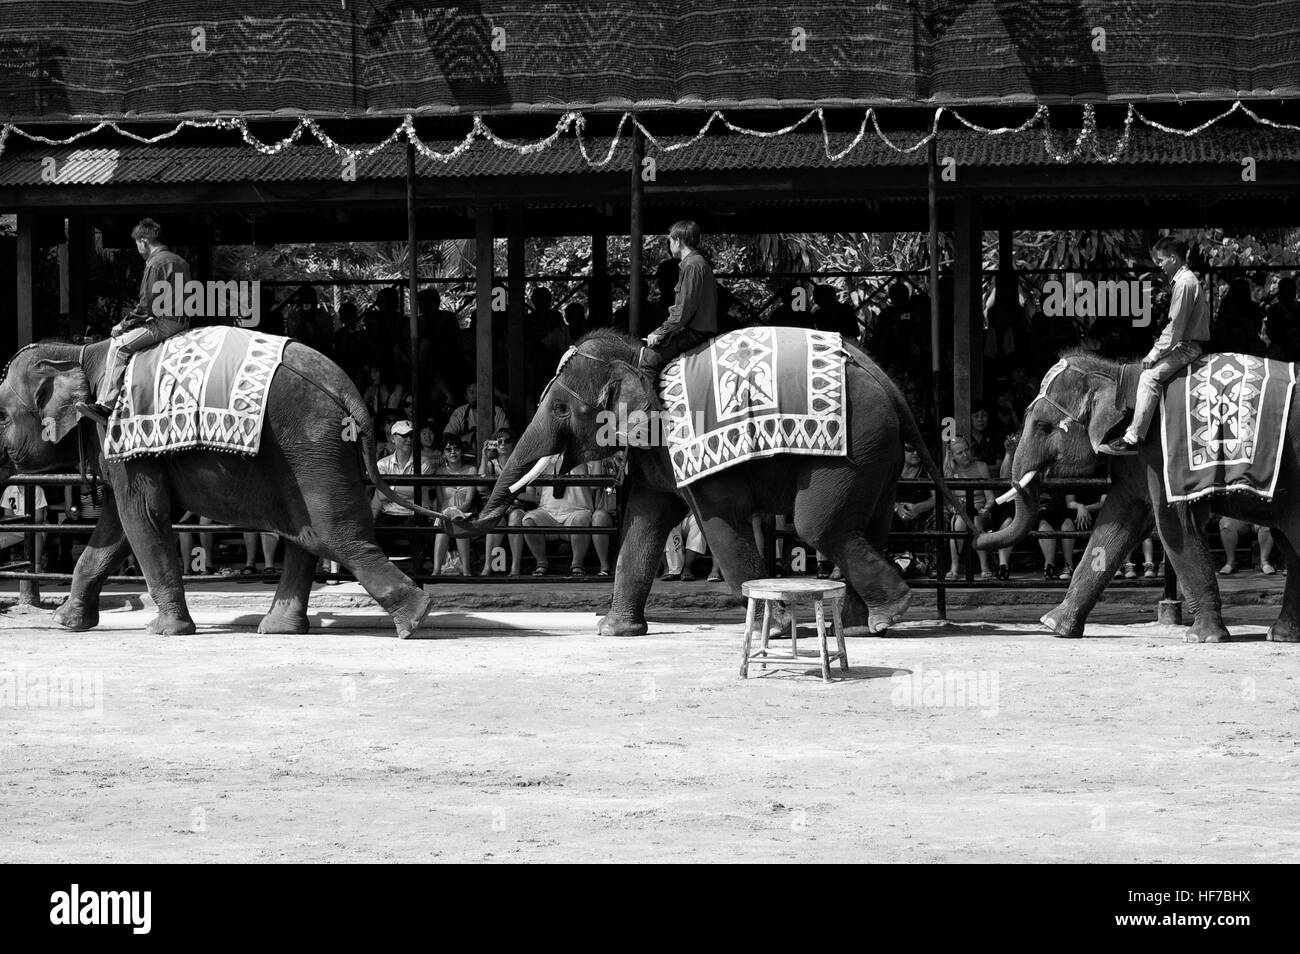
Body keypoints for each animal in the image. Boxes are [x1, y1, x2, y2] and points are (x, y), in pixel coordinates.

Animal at [0, 336, 439, 638]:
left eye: (2, 417)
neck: (80, 351)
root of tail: (346, 386)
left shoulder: (123, 434)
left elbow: (141, 515)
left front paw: (166, 632)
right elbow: (116, 525)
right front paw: (66, 623)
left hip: (311, 440)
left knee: (335, 534)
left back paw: (416, 619)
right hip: (311, 450)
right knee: (308, 532)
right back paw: (280, 629)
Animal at [457, 328, 970, 638]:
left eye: (561, 408)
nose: (455, 514)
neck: (639, 361)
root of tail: (884, 378)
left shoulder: (691, 445)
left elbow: (719, 523)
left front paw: (773, 629)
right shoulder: (658, 457)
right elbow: (644, 523)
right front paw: (614, 630)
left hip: (856, 445)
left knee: (817, 527)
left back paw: (887, 616)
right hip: (879, 452)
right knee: (869, 524)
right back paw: (863, 624)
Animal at [974, 348, 1300, 644]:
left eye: (1043, 426)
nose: (980, 525)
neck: (1121, 375)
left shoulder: (1164, 453)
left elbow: (1173, 526)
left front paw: (1203, 638)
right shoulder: (1135, 460)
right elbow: (1118, 523)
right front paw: (1055, 626)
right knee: (1288, 542)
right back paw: (1281, 636)